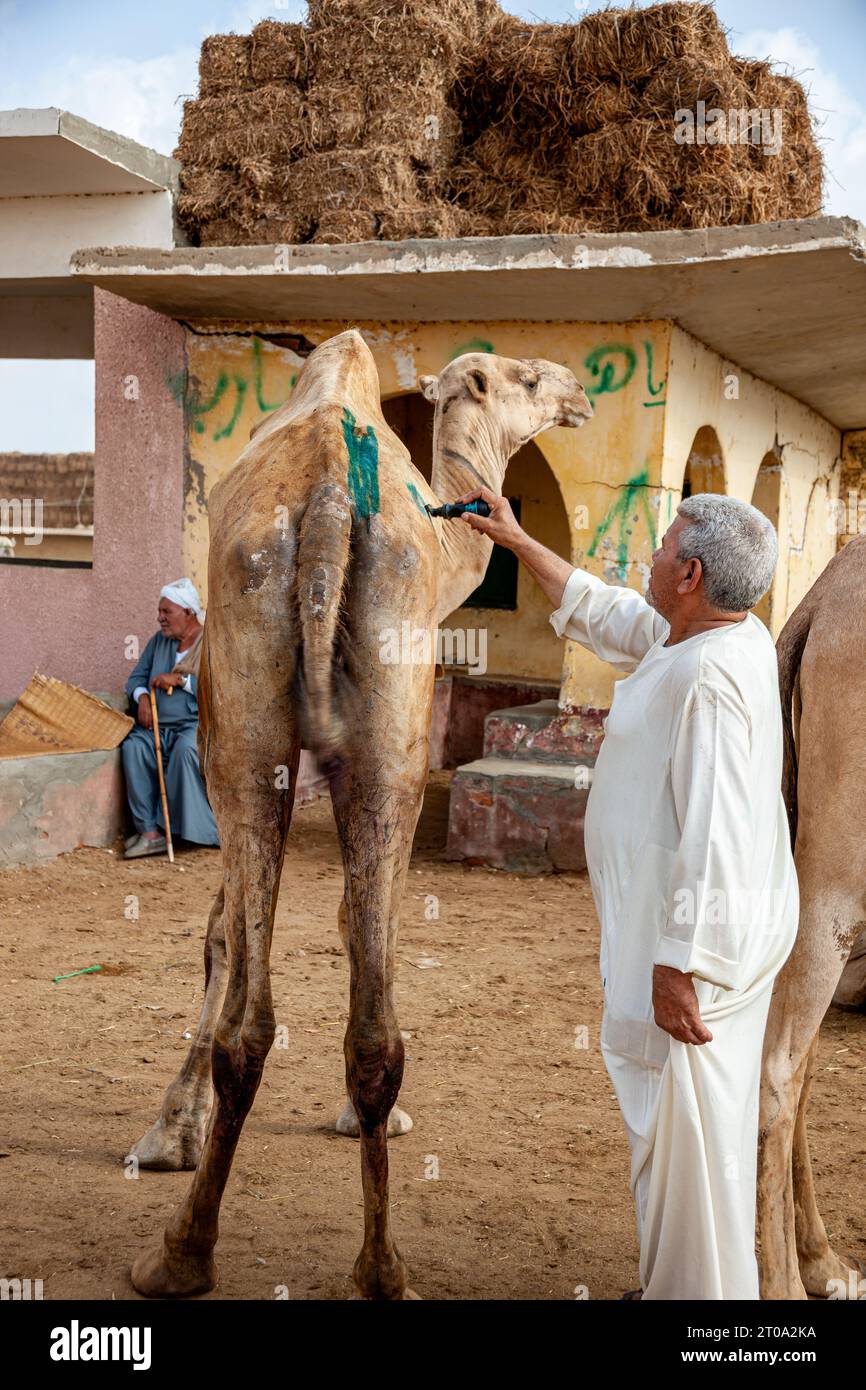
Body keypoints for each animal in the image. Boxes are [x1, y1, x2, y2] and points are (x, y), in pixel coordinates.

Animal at [128, 328, 592, 1299]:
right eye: (530, 378)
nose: (581, 394)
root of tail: (334, 501)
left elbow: (226, 936)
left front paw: (171, 1131)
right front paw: (175, 1130)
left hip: (259, 738)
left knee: (258, 1016)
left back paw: (183, 1252)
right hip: (365, 732)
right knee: (362, 1027)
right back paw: (377, 1268)